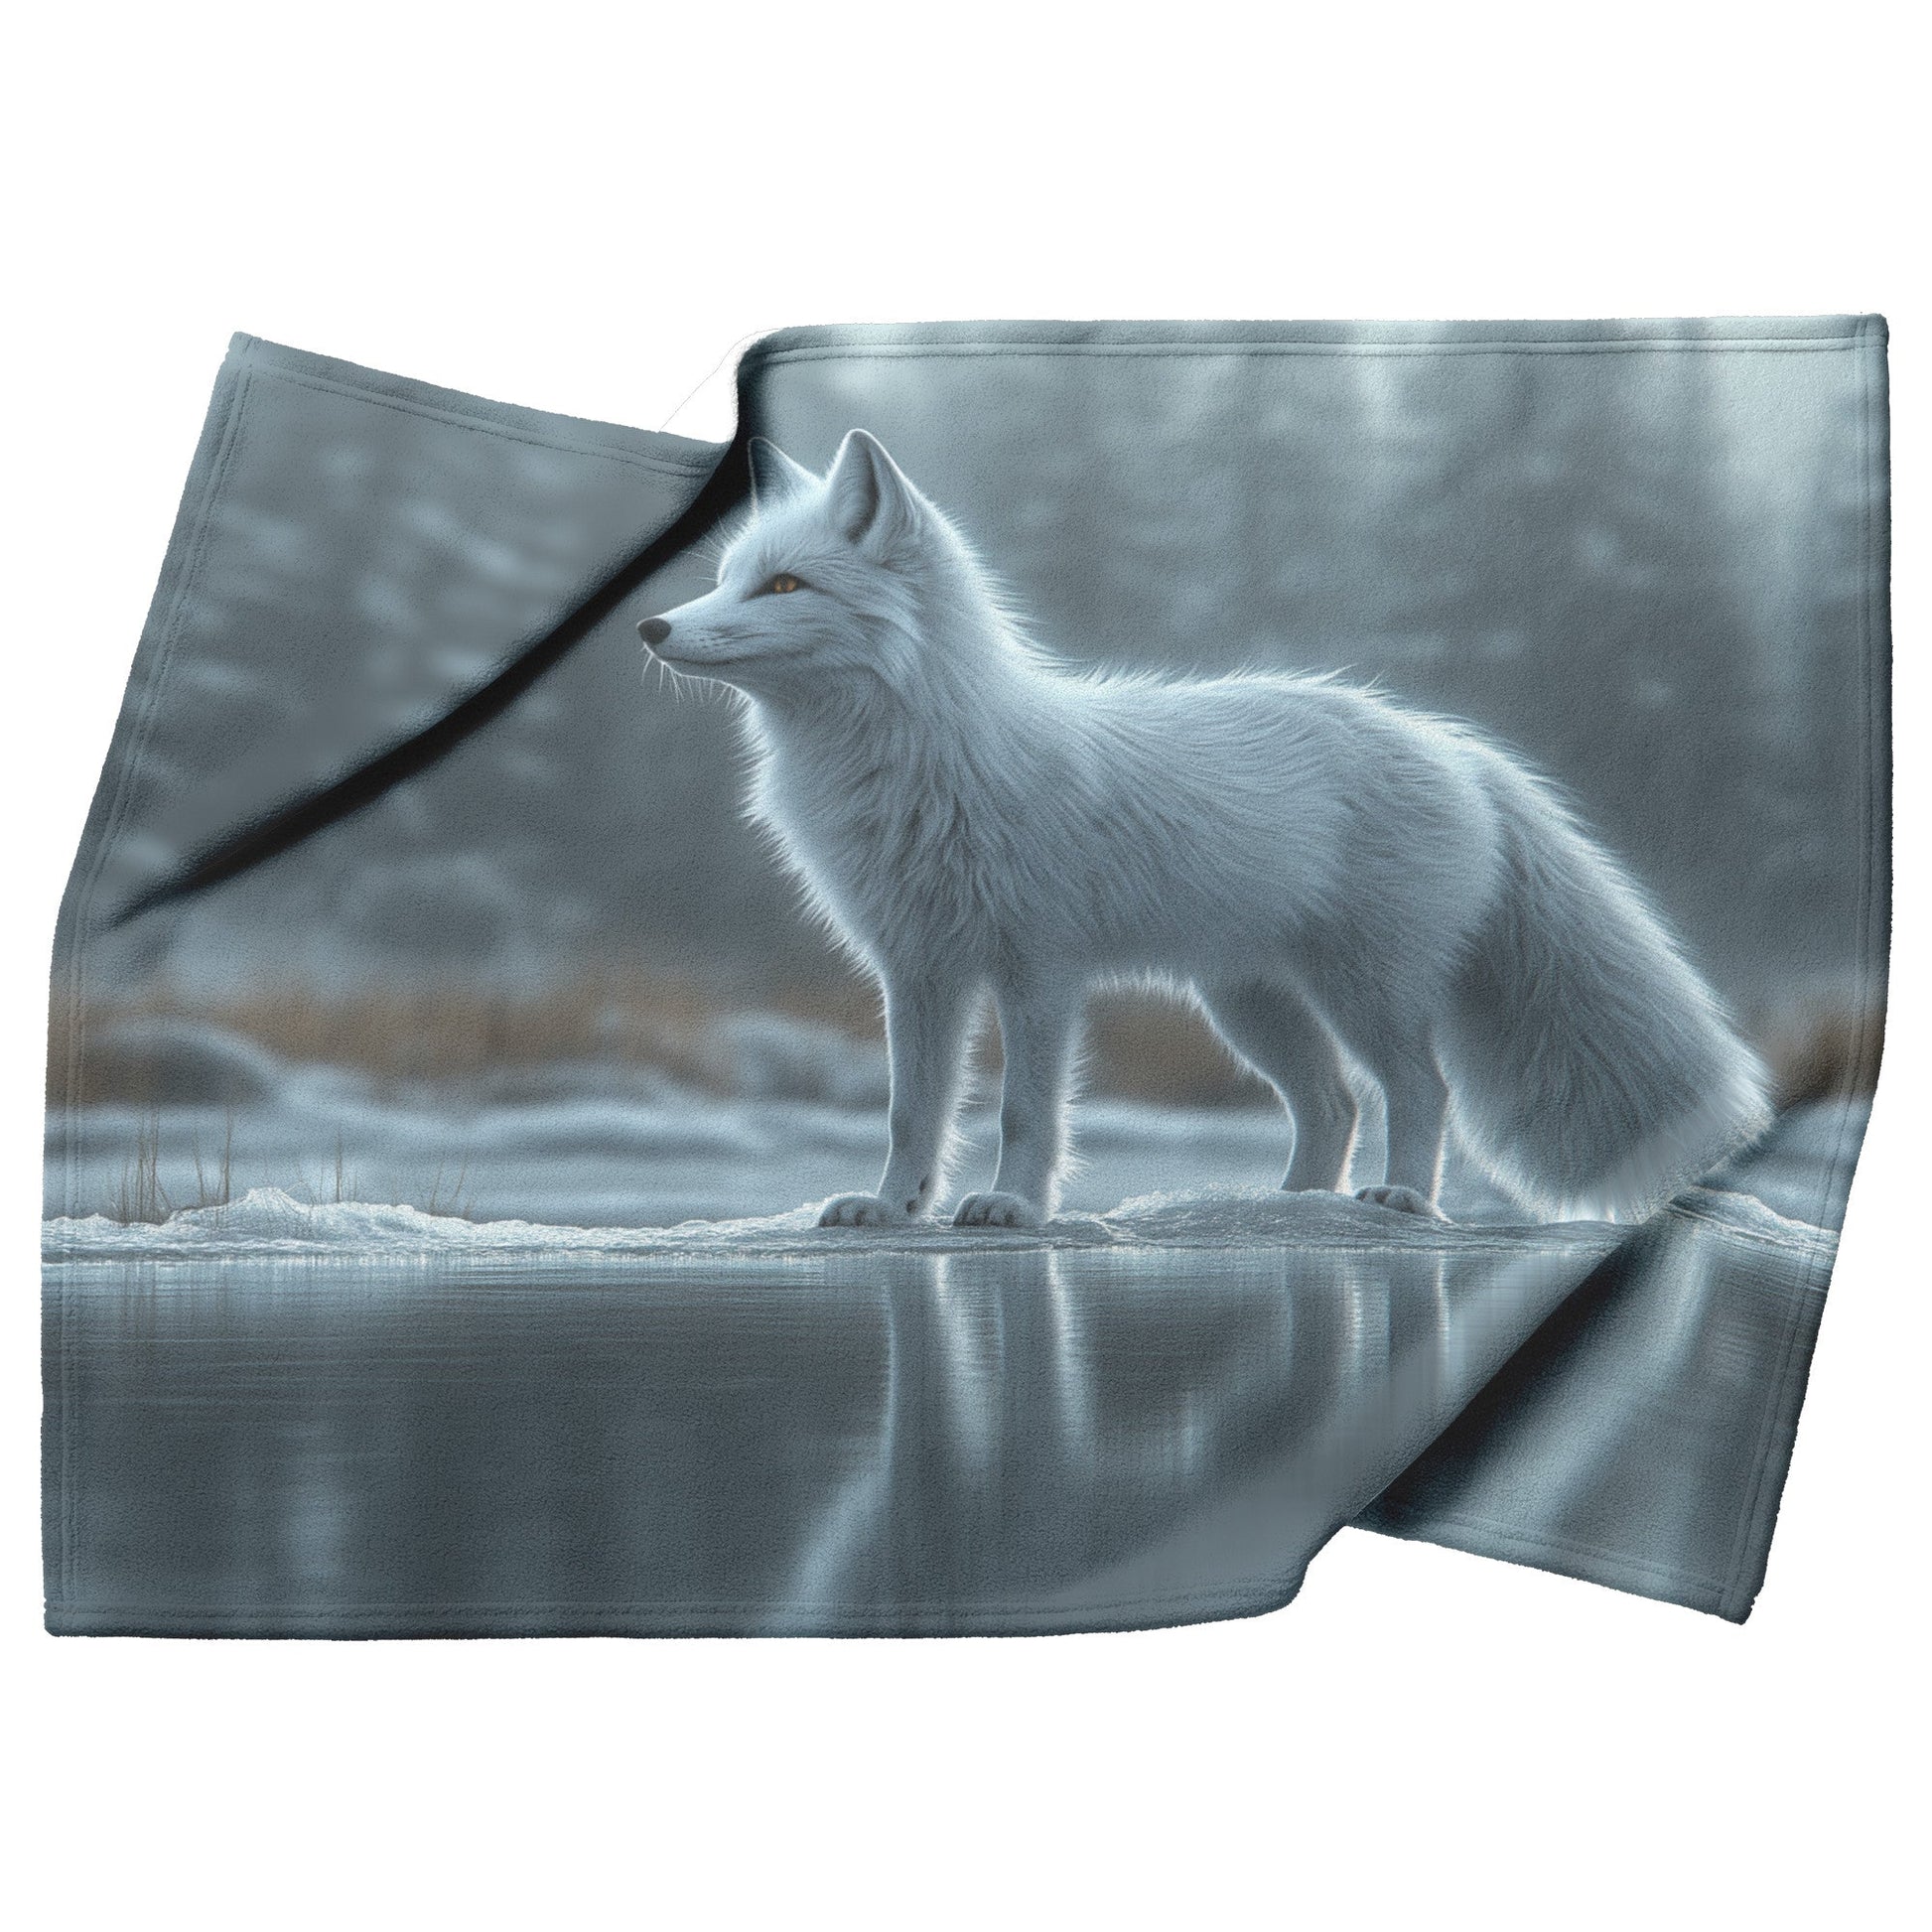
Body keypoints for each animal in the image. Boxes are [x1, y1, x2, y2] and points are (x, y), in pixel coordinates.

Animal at [636, 429, 1772, 1229]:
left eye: (785, 585)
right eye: (729, 577)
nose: (652, 626)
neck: (926, 759)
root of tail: (1458, 748)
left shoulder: (1037, 969)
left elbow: (1023, 1111)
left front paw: (1013, 1209)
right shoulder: (917, 969)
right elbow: (910, 1110)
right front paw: (891, 1208)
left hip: (1363, 988)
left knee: (1417, 1089)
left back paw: (1399, 1201)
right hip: (1248, 1002)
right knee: (1332, 1105)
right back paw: (1291, 1209)